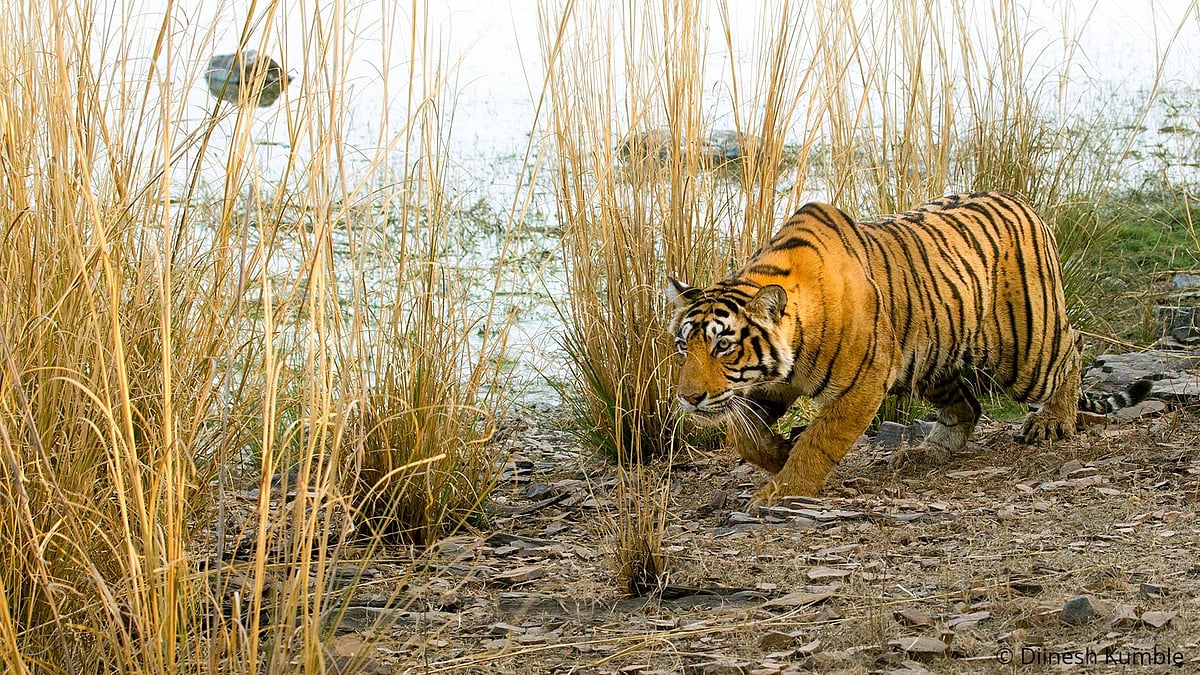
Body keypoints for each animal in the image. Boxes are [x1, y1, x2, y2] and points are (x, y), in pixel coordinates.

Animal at [666, 191, 1152, 503]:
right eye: (683, 347)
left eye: (724, 346)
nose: (688, 399)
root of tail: (1025, 204)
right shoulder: (769, 384)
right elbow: (745, 438)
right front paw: (779, 454)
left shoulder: (862, 384)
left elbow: (821, 440)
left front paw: (783, 487)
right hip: (937, 357)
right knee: (968, 406)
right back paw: (926, 453)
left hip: (1024, 351)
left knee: (1072, 347)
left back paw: (1052, 422)